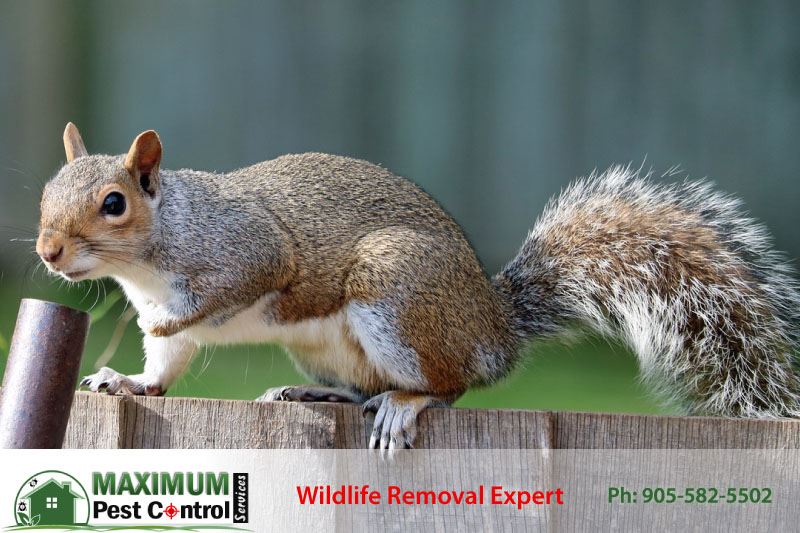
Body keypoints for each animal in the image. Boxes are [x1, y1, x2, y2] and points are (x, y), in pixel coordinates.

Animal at [36, 123, 800, 449]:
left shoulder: (251, 253)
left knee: (449, 384)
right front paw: (127, 379)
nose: (47, 251)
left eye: (113, 203)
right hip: (335, 347)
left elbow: (239, 291)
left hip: (397, 296)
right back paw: (318, 394)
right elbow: (164, 368)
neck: (149, 258)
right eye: (47, 190)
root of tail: (493, 326)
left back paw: (407, 404)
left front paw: (168, 326)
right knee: (362, 388)